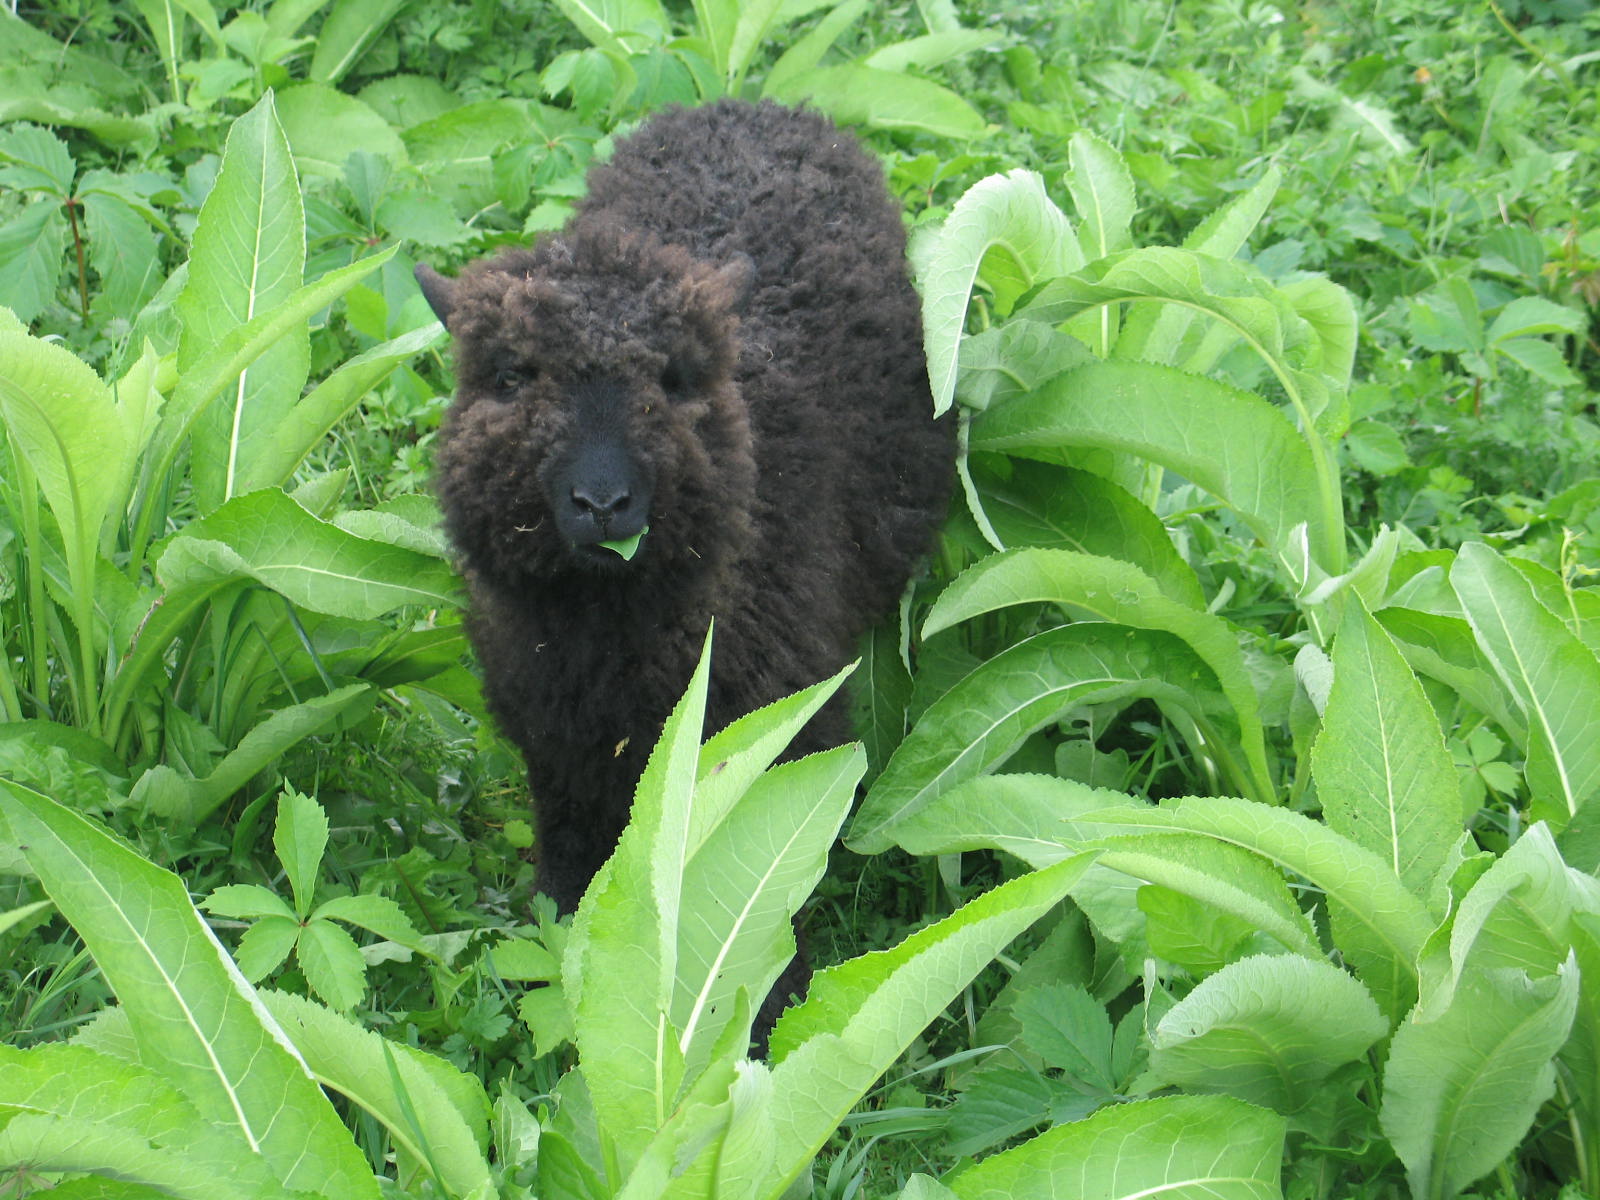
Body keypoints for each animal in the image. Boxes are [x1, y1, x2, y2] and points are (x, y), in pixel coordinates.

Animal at [415, 99, 954, 916]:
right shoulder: (555, 740)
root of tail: (754, 105)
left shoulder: (772, 732)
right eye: (509, 377)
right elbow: (570, 853)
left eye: (676, 379)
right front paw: (557, 925)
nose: (602, 502)